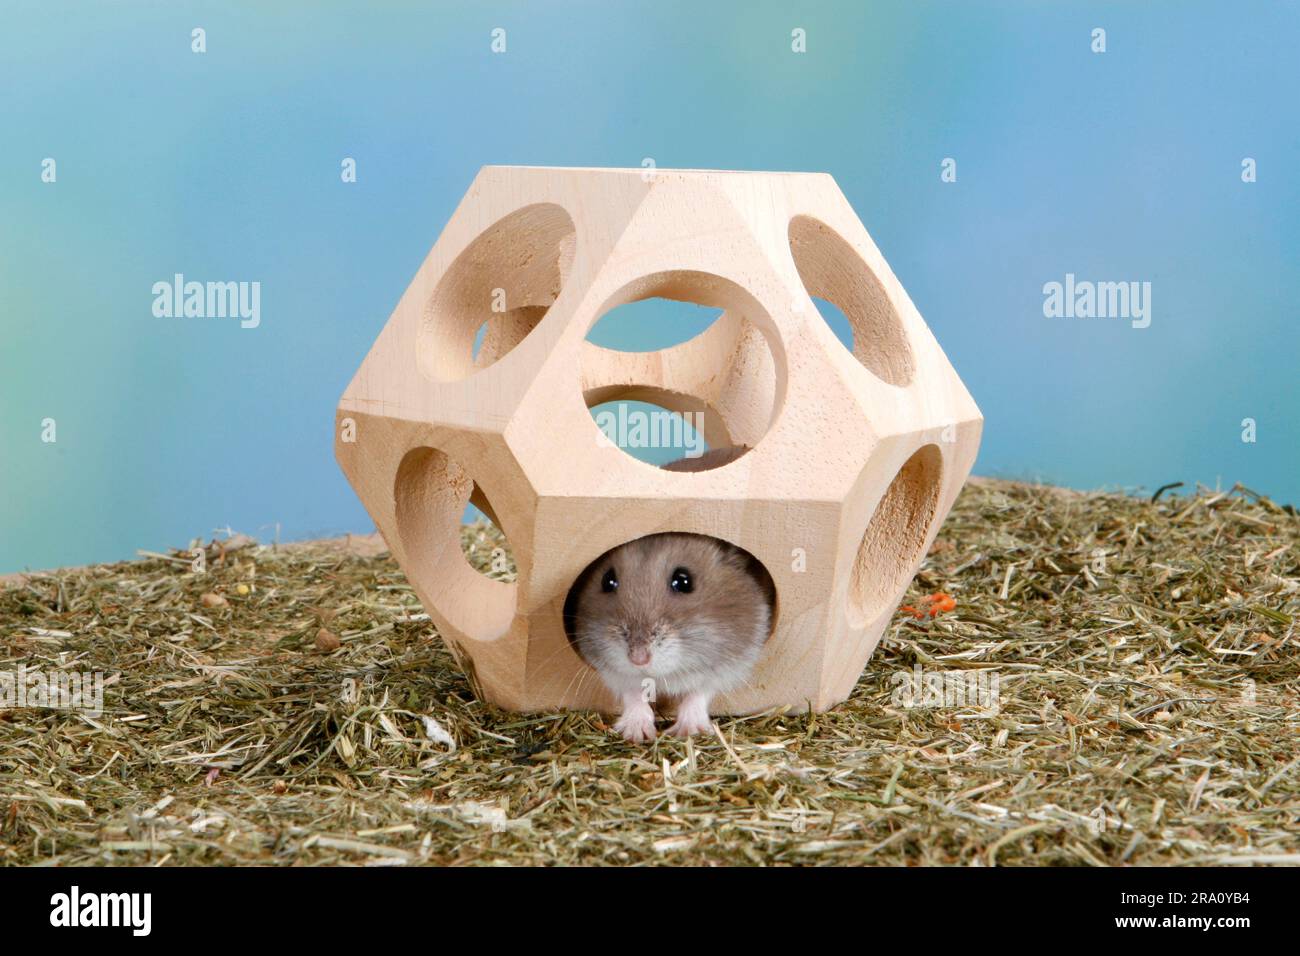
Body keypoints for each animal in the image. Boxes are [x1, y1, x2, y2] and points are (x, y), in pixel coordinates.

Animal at [564, 447, 776, 742]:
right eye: (607, 580)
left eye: (684, 581)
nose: (638, 659)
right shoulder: (609, 669)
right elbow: (633, 693)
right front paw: (636, 733)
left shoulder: (733, 661)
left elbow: (699, 693)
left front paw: (689, 731)